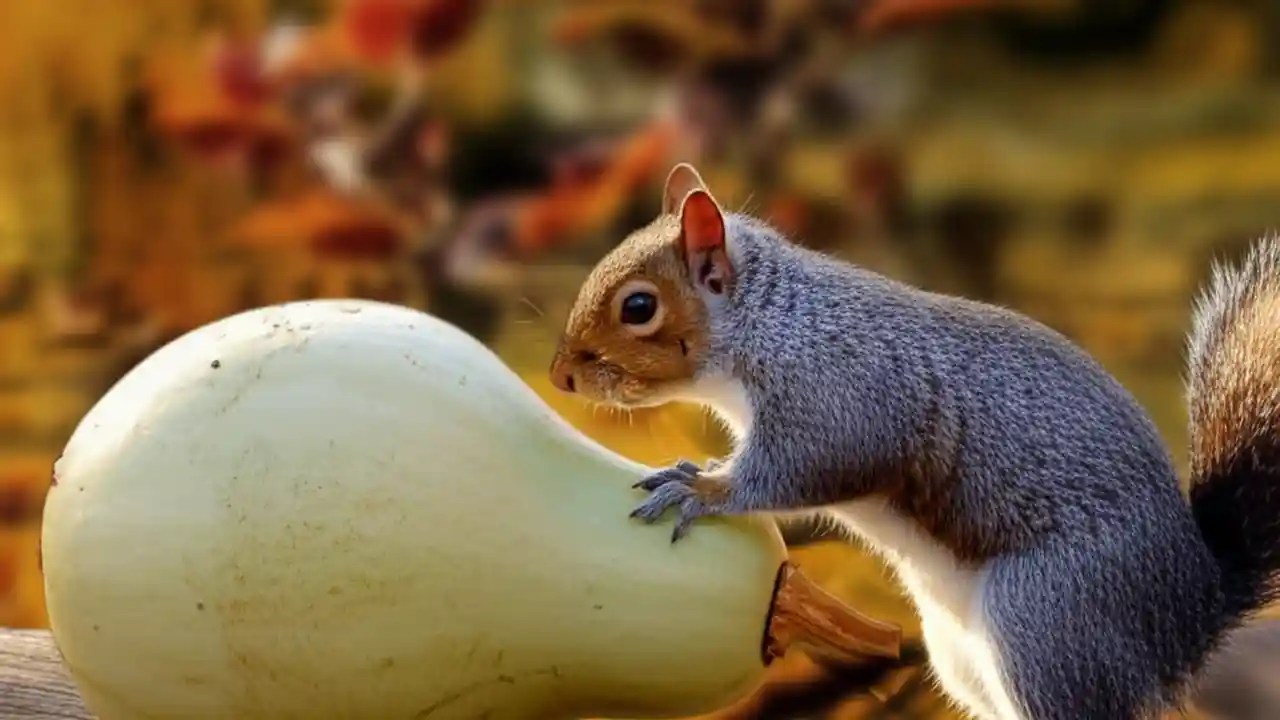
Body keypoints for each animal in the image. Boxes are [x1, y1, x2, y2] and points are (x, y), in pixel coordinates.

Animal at [549, 163, 1280, 720]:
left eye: (638, 307)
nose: (561, 375)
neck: (772, 321)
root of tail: (1194, 610)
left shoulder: (841, 398)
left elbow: (798, 472)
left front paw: (702, 486)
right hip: (969, 660)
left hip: (1048, 618)